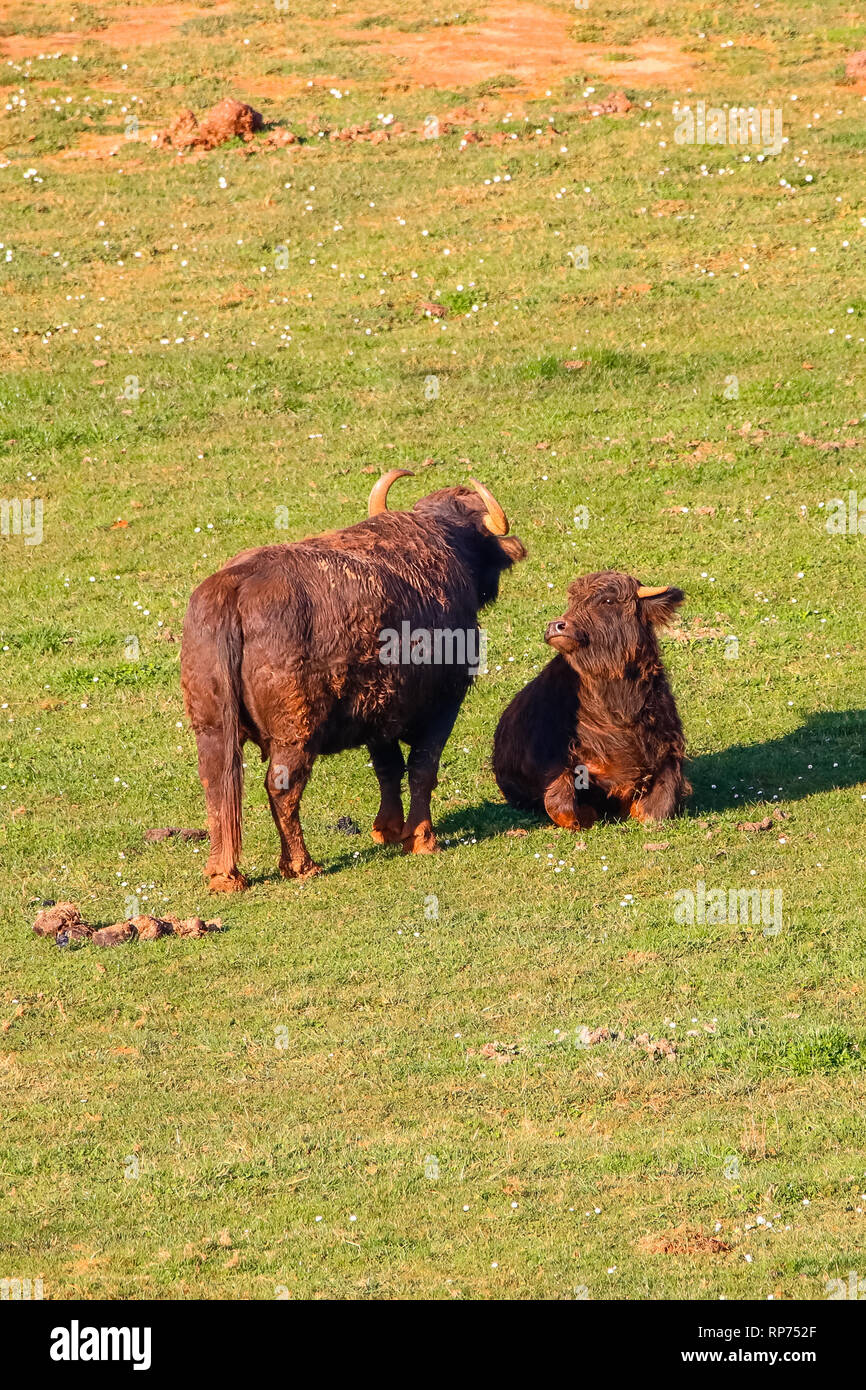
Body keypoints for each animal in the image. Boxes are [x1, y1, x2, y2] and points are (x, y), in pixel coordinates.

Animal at [181, 471, 525, 890]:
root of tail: (234, 588)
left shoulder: (379, 716)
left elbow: (388, 769)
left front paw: (388, 830)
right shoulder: (442, 707)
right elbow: (422, 769)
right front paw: (421, 838)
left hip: (213, 730)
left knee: (219, 788)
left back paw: (225, 874)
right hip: (295, 737)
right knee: (282, 789)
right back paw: (302, 865)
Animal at [492, 571, 688, 829]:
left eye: (608, 600)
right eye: (573, 602)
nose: (556, 626)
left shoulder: (669, 753)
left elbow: (655, 811)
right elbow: (563, 807)